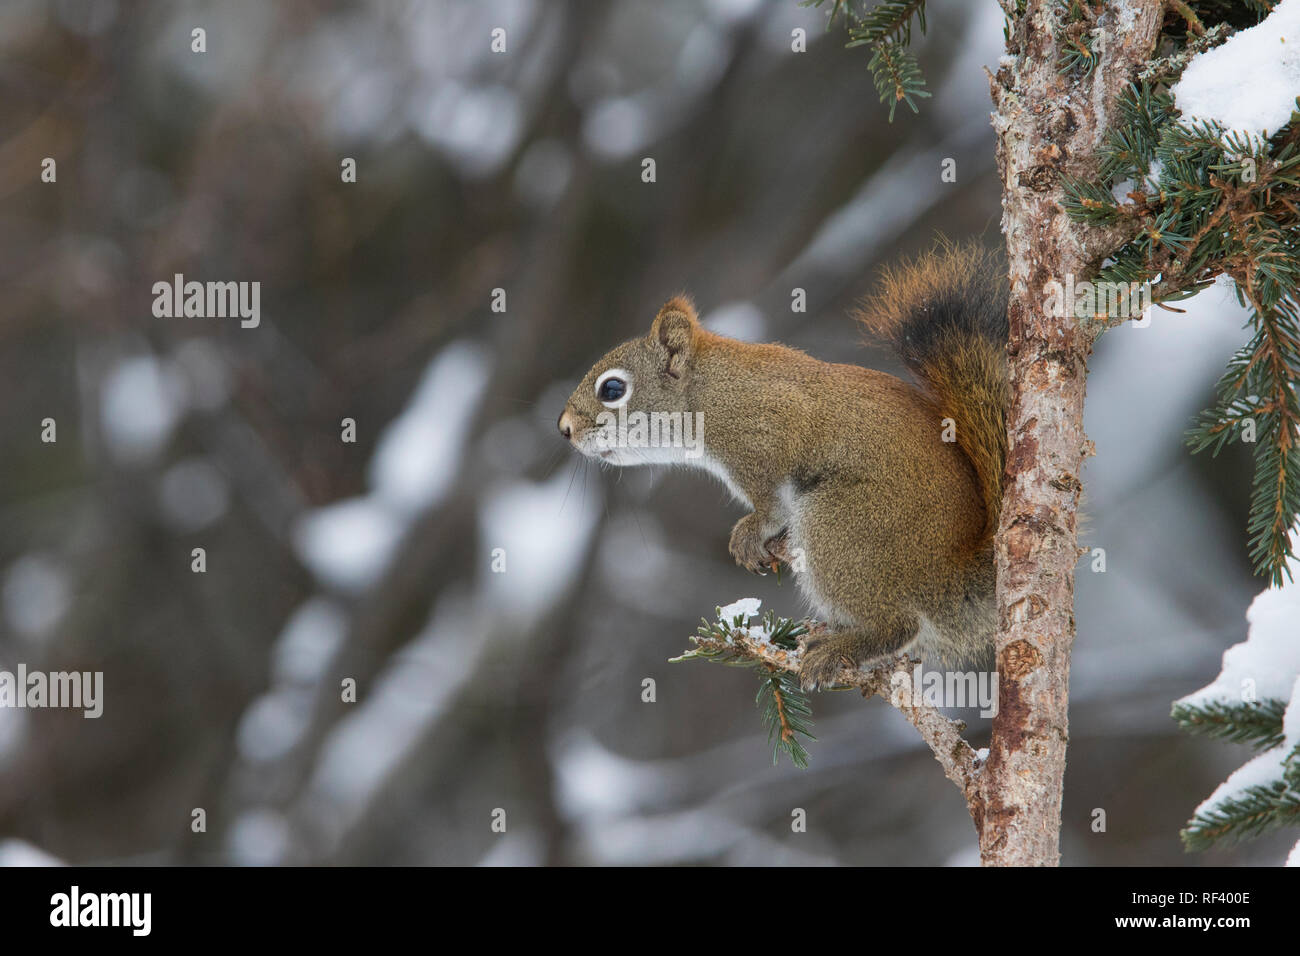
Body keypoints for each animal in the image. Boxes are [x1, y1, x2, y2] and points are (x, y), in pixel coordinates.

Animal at [557, 243, 1008, 689]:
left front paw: (751, 530)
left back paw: (834, 652)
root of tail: (951, 571)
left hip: (844, 527)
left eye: (612, 389)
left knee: (899, 624)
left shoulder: (772, 432)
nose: (564, 429)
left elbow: (771, 503)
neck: (709, 393)